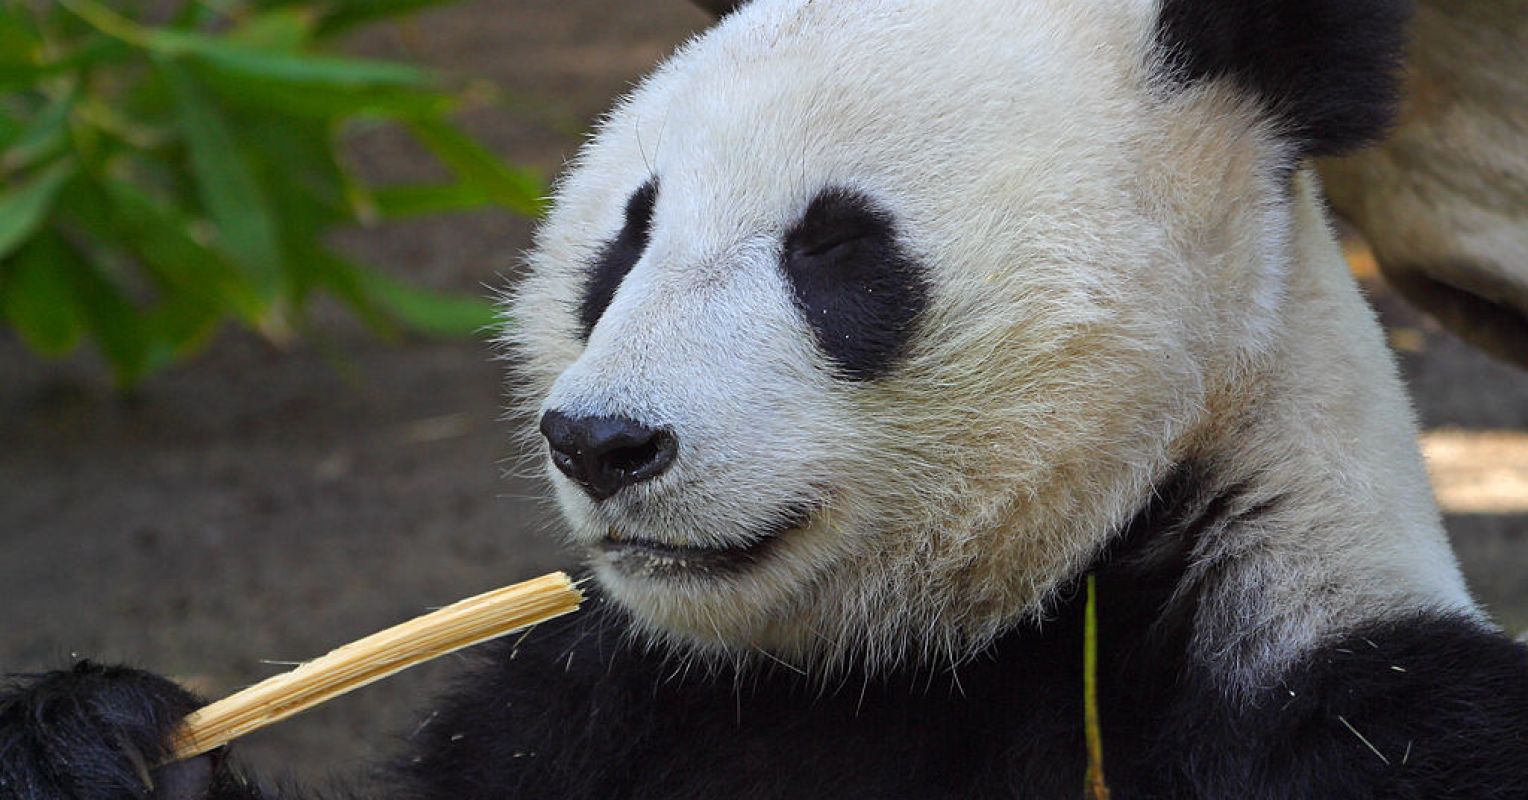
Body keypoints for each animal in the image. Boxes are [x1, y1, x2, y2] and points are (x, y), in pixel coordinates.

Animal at [4, 0, 1527, 798]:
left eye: (837, 251)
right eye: (625, 238)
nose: (601, 441)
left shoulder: (1332, 700)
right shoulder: (610, 704)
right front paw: (91, 742)